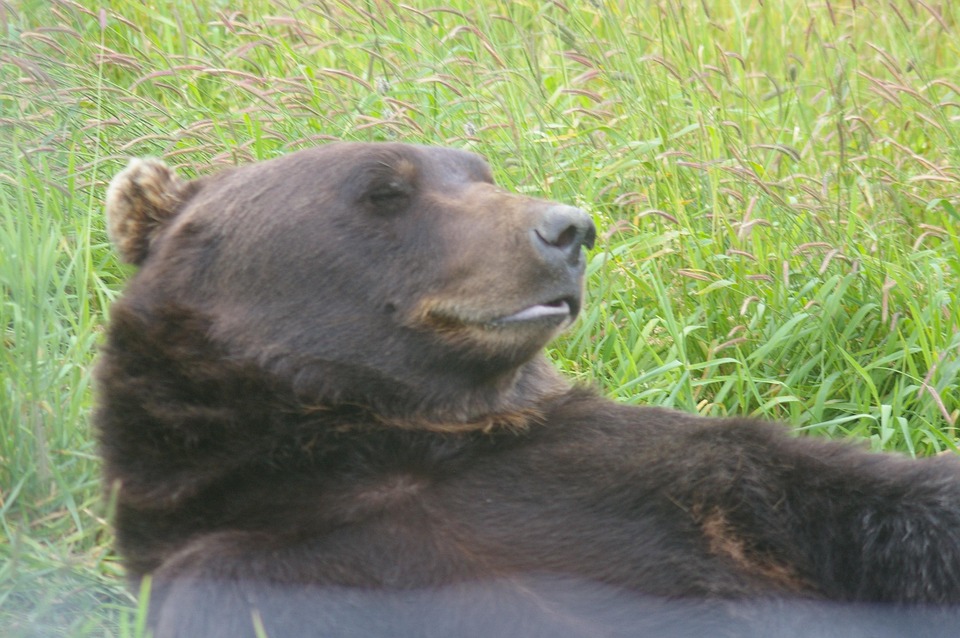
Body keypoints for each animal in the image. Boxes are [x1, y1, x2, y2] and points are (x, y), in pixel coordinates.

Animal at [97, 142, 960, 638]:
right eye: (384, 190)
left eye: (479, 172)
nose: (569, 228)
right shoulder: (262, 567)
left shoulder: (679, 473)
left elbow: (893, 504)